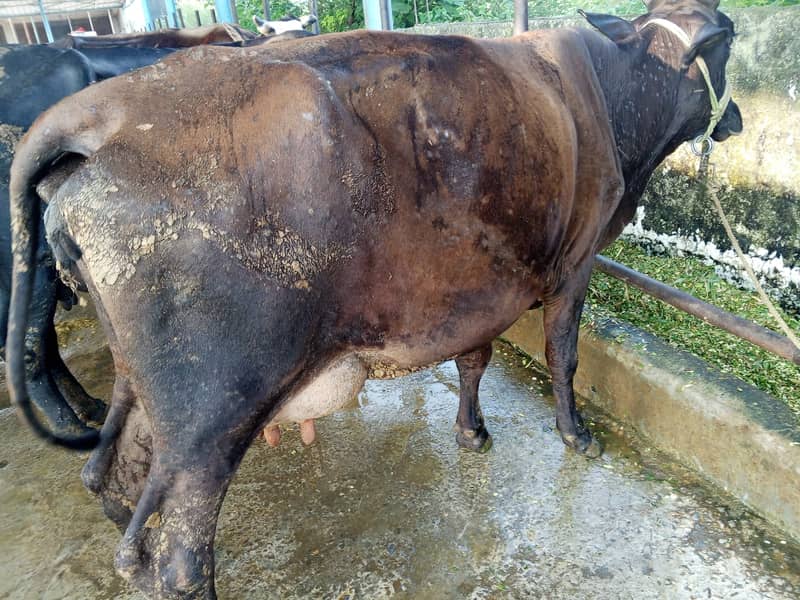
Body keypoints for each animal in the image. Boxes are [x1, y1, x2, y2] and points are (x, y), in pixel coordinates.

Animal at [8, 0, 741, 596]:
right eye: (728, 44)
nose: (732, 114)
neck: (614, 95)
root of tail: (100, 115)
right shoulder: (575, 264)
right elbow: (564, 355)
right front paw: (576, 434)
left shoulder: (484, 288)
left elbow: (474, 360)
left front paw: (472, 432)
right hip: (212, 416)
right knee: (180, 560)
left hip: (145, 387)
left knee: (109, 479)